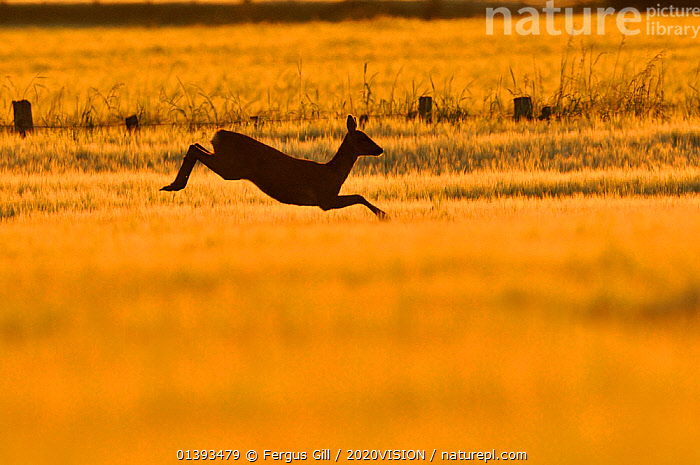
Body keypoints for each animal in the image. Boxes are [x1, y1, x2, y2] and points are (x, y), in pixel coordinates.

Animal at [161, 115, 388, 219]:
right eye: (362, 138)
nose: (380, 149)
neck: (333, 174)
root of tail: (218, 135)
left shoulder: (327, 199)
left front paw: (382, 213)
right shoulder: (325, 199)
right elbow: (359, 196)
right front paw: (383, 214)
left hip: (226, 163)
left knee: (195, 145)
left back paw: (172, 185)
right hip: (231, 168)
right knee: (195, 148)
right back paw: (175, 185)